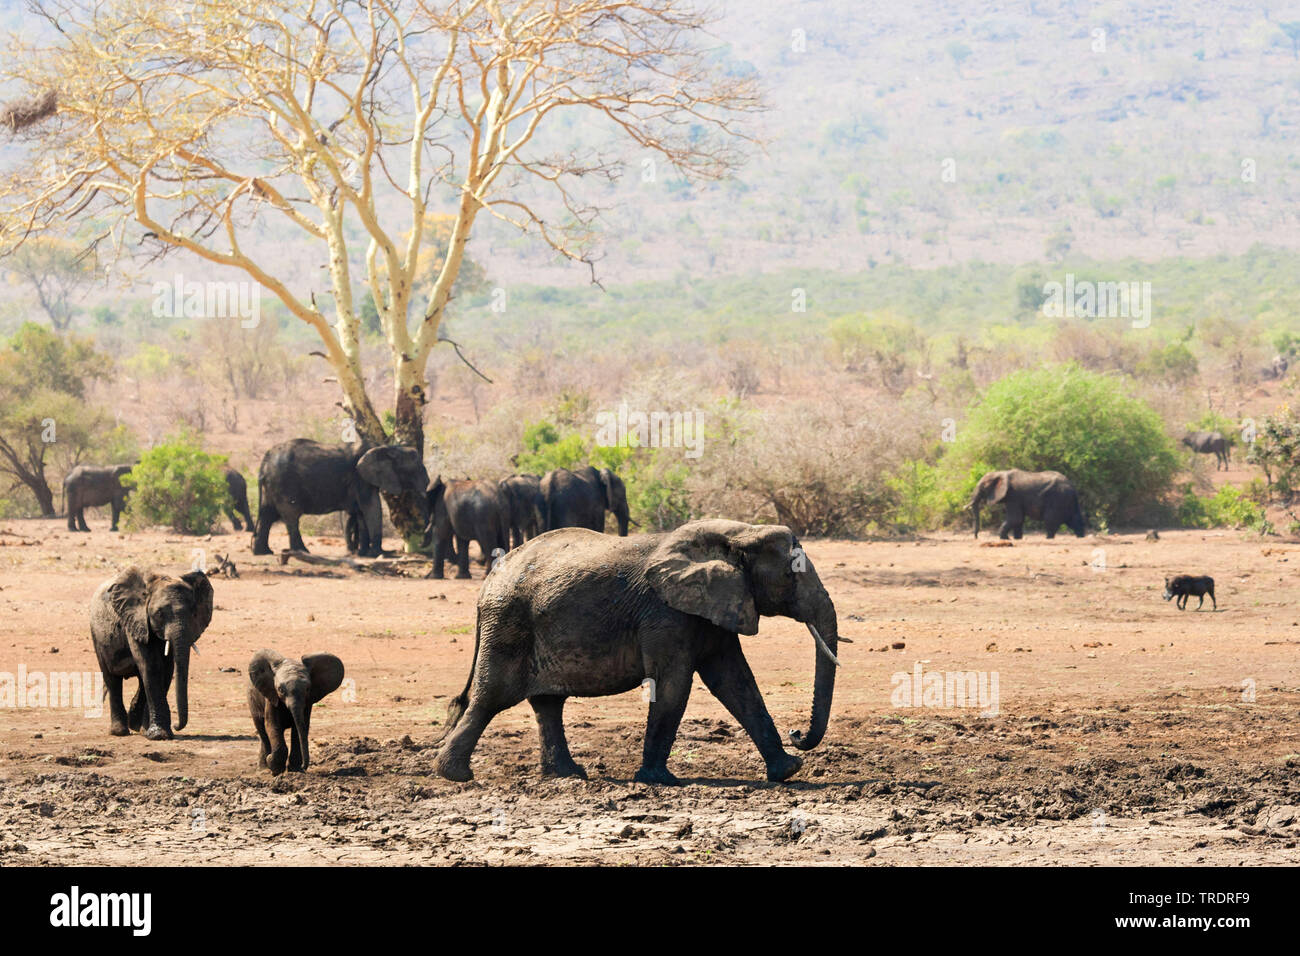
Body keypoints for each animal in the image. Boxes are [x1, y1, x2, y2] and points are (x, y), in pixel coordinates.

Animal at [89, 566, 214, 740]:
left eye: (193, 614)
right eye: (159, 614)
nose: (177, 726)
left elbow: (166, 670)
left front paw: (154, 732)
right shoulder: (135, 620)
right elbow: (151, 666)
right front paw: (159, 735)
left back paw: (137, 726)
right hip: (97, 635)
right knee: (112, 678)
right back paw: (120, 732)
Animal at [252, 439, 430, 557]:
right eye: (415, 468)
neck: (386, 447)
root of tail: (265, 461)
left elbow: (362, 512)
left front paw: (364, 554)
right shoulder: (360, 478)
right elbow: (372, 507)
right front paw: (379, 554)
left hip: (272, 485)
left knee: (267, 514)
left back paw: (262, 552)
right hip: (284, 483)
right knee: (291, 516)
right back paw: (303, 552)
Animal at [432, 519, 841, 786]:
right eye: (791, 574)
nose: (797, 732)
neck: (737, 532)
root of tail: (489, 580)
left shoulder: (714, 607)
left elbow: (736, 683)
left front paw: (788, 771)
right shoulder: (665, 615)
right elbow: (674, 686)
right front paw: (659, 780)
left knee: (547, 704)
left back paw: (567, 775)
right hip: (508, 623)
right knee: (491, 698)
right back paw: (456, 775)